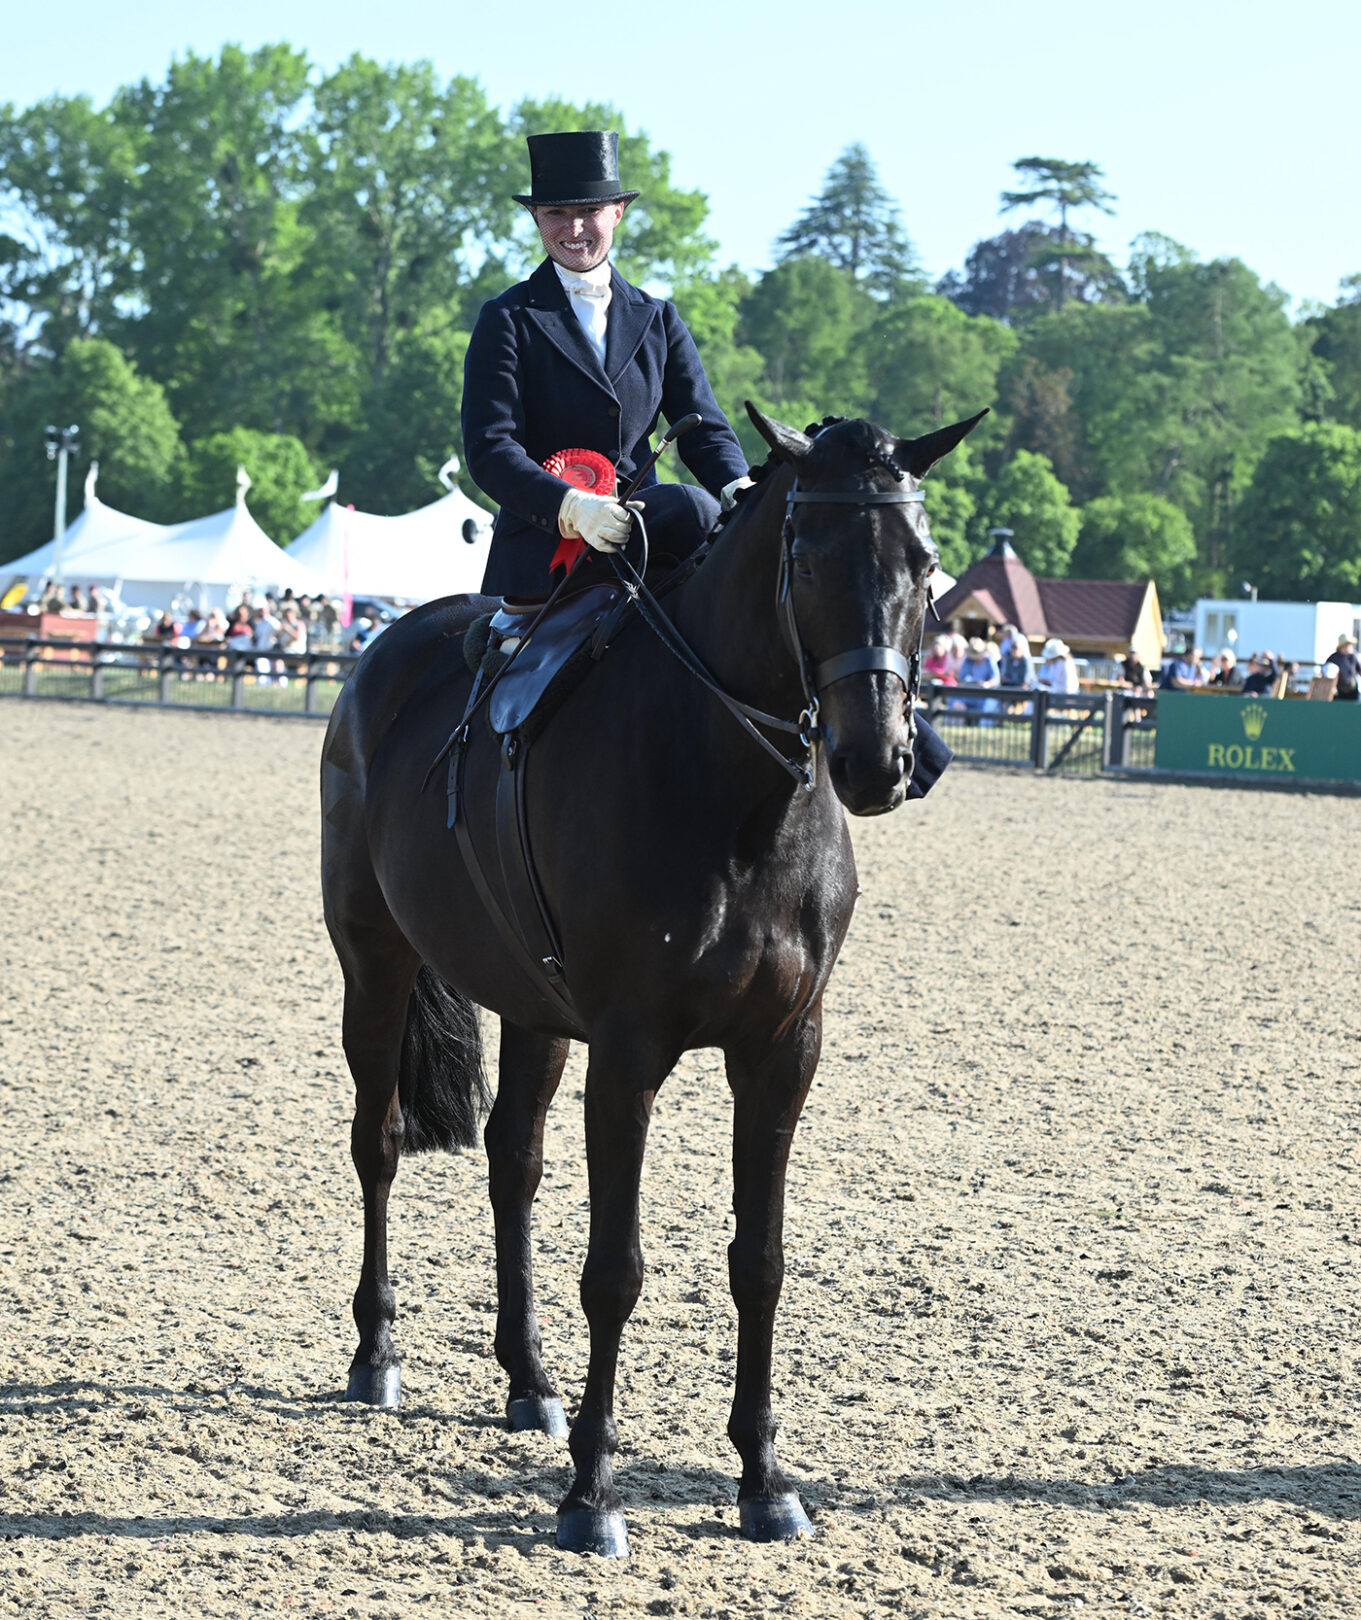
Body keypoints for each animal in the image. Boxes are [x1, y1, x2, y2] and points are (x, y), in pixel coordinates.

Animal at [319, 402, 984, 1557]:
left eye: (924, 561)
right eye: (806, 558)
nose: (876, 761)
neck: (735, 798)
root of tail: (389, 650)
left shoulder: (782, 1053)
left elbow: (758, 1261)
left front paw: (764, 1480)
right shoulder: (627, 1053)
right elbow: (615, 1271)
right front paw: (591, 1494)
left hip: (531, 1002)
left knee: (513, 1163)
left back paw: (528, 1381)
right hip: (375, 960)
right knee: (379, 1145)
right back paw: (378, 1355)